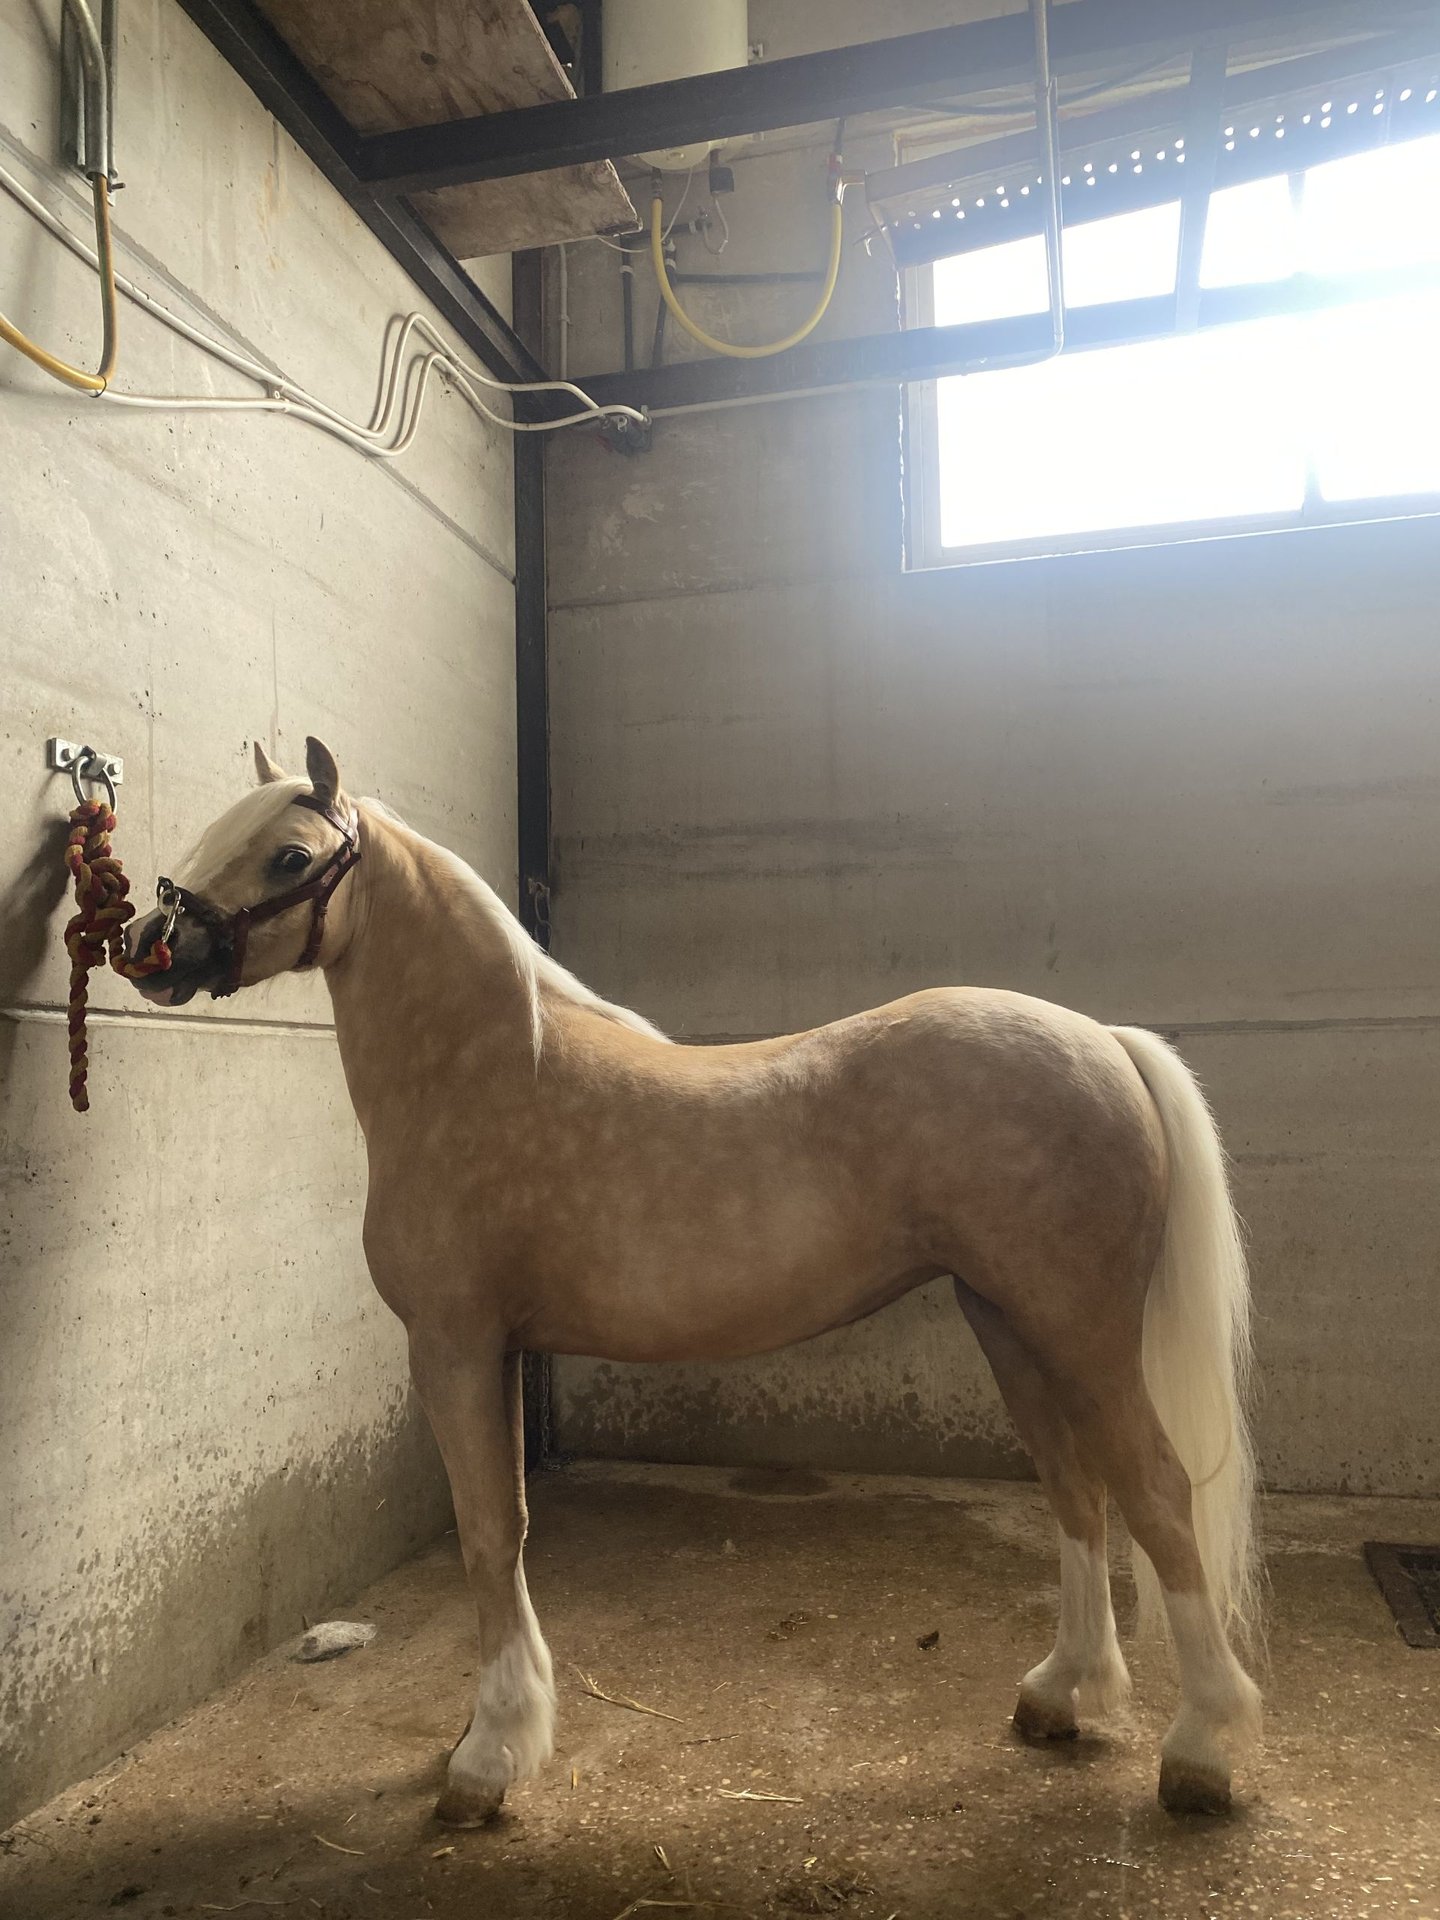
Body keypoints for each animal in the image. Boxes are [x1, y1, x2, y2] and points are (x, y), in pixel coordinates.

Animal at [121, 736, 1262, 1827]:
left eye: (290, 857)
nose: (147, 947)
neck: (484, 1072)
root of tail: (1099, 1039)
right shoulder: (498, 1350)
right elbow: (512, 1529)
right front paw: (491, 1730)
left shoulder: (452, 1343)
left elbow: (486, 1536)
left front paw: (488, 1762)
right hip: (1010, 1323)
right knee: (1079, 1494)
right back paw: (1062, 1693)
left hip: (1080, 1330)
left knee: (1157, 1492)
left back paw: (1202, 1748)